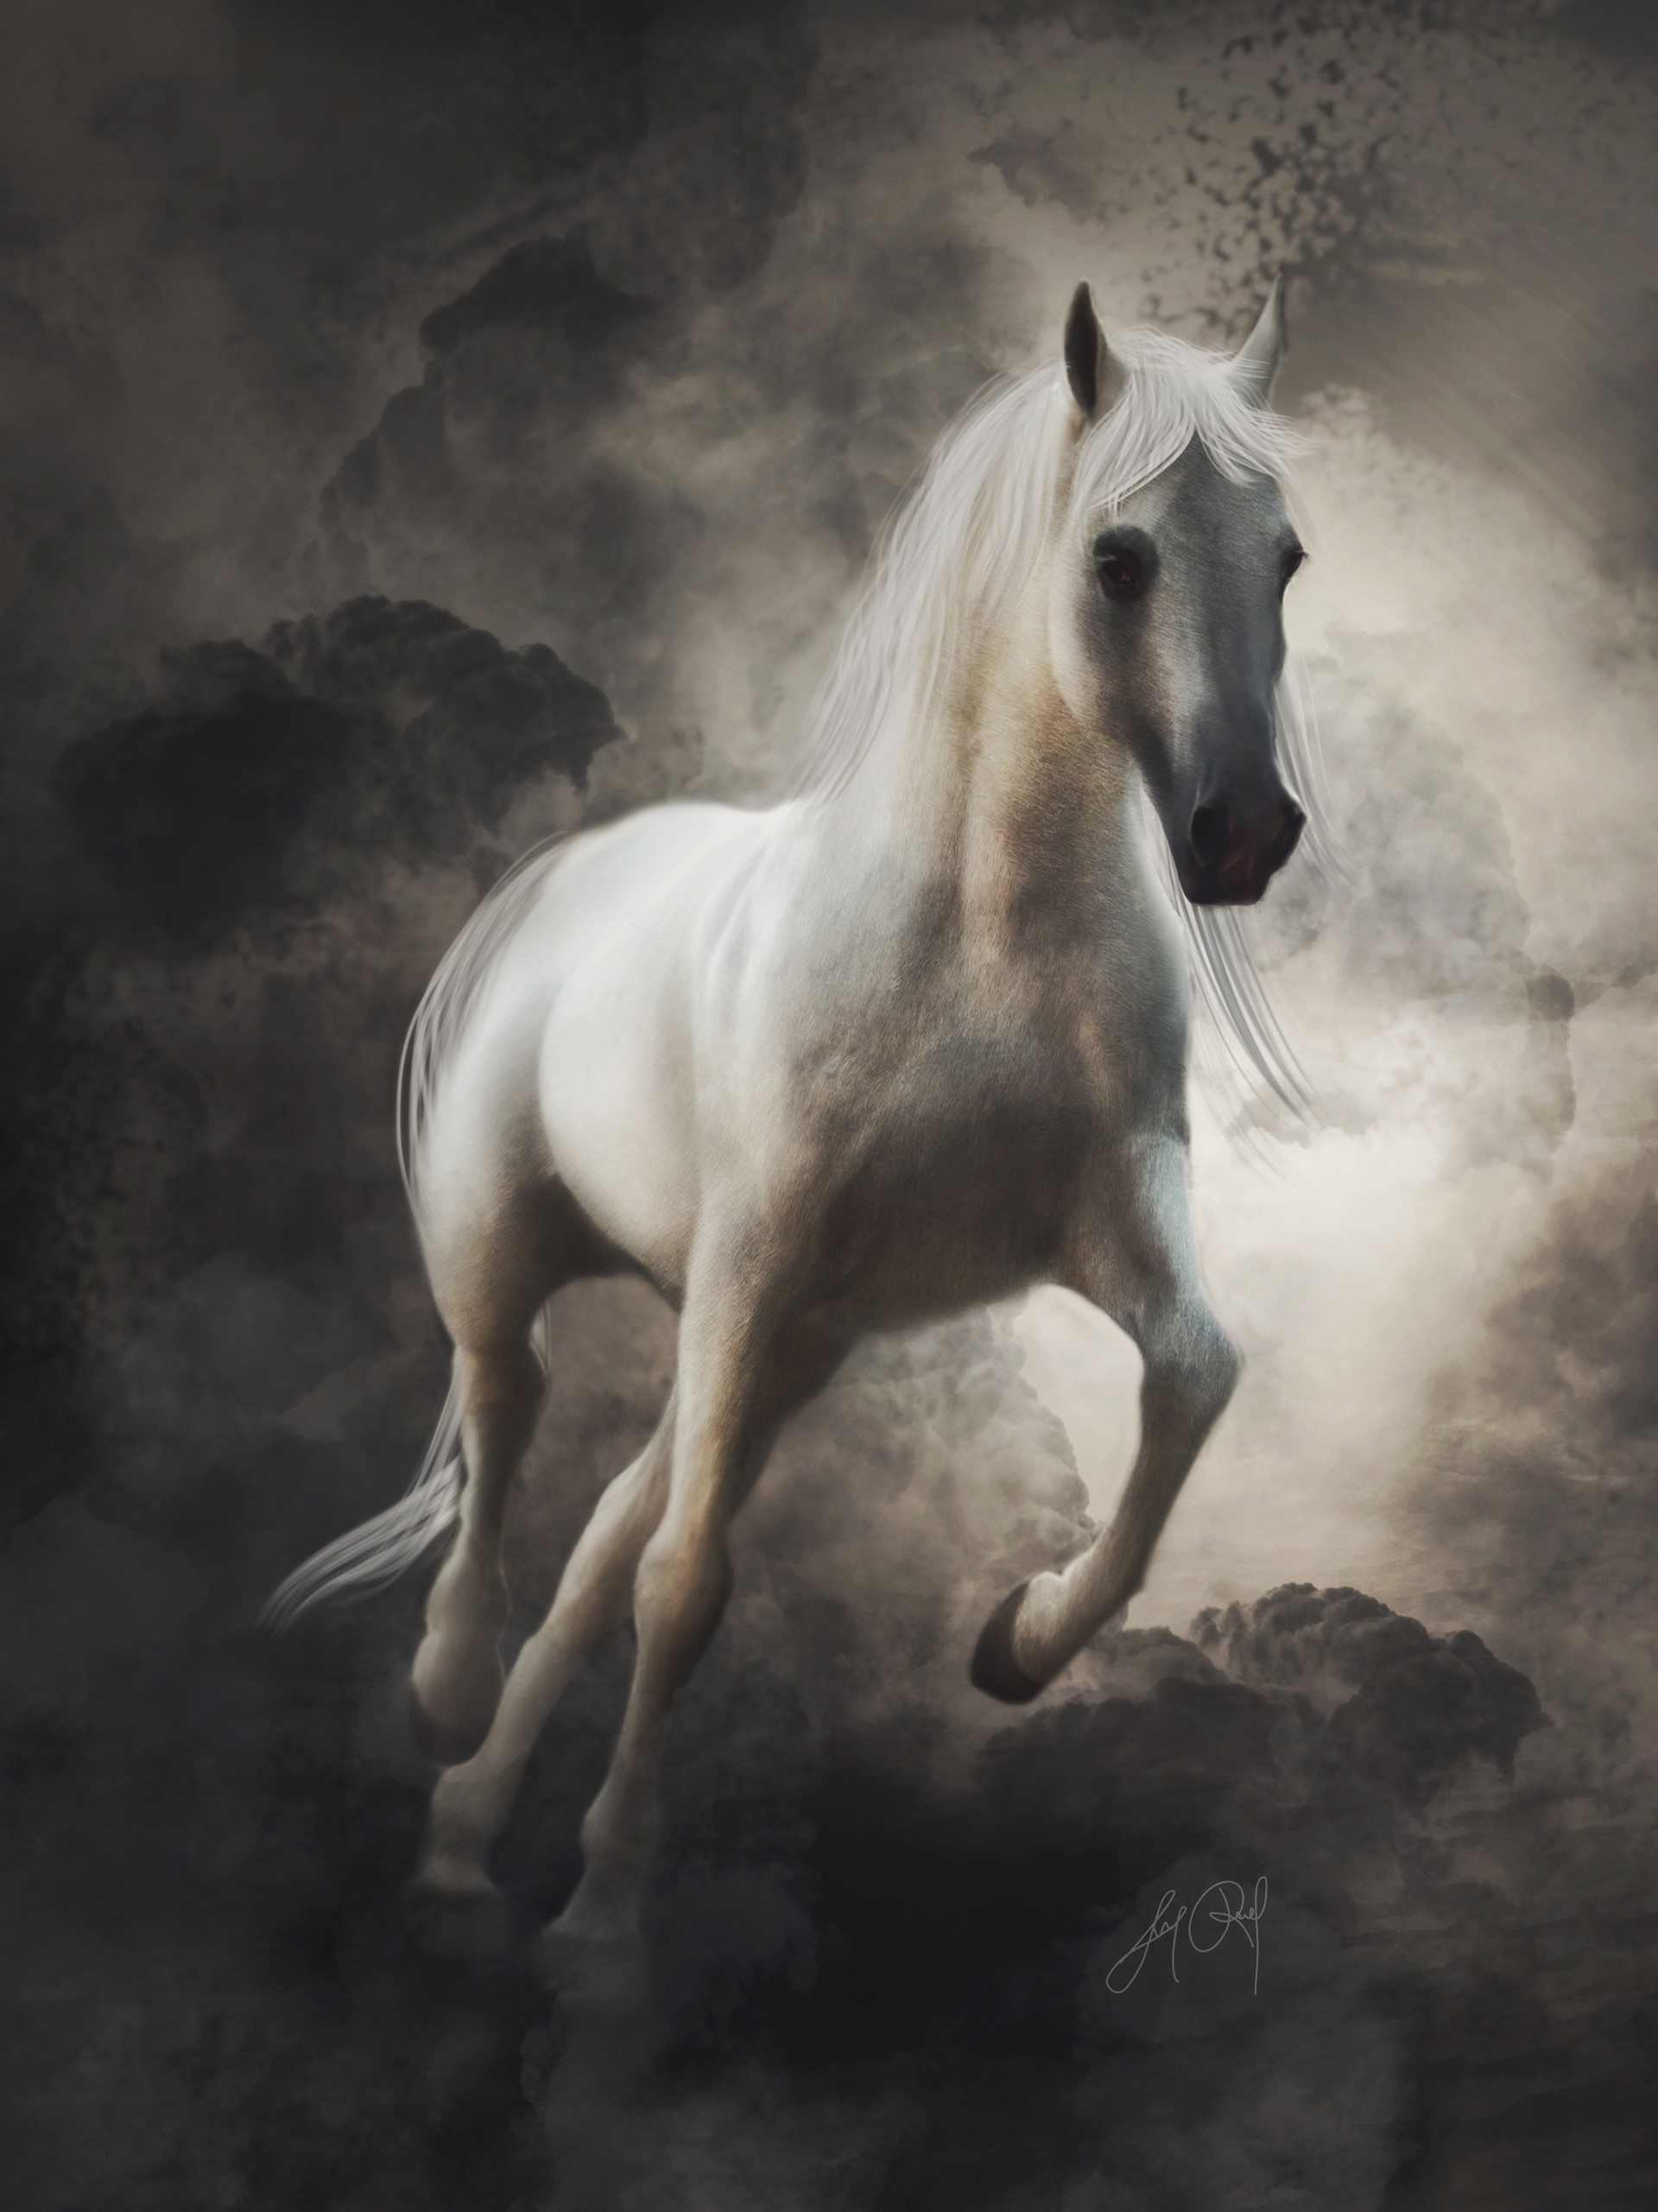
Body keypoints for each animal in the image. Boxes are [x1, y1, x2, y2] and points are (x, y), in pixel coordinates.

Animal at [267, 278, 1318, 1979]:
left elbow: (1197, 1377)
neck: (977, 944)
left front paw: (1018, 1638)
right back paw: (443, 1700)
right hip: (533, 1254)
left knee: (601, 1529)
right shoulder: (755, 1258)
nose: (1244, 833)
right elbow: (689, 1587)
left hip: (786, 1346)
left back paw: (459, 1849)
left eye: (1286, 556)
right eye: (1120, 558)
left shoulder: (1106, 1227)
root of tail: (560, 878)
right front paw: (603, 1926)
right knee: (509, 1415)